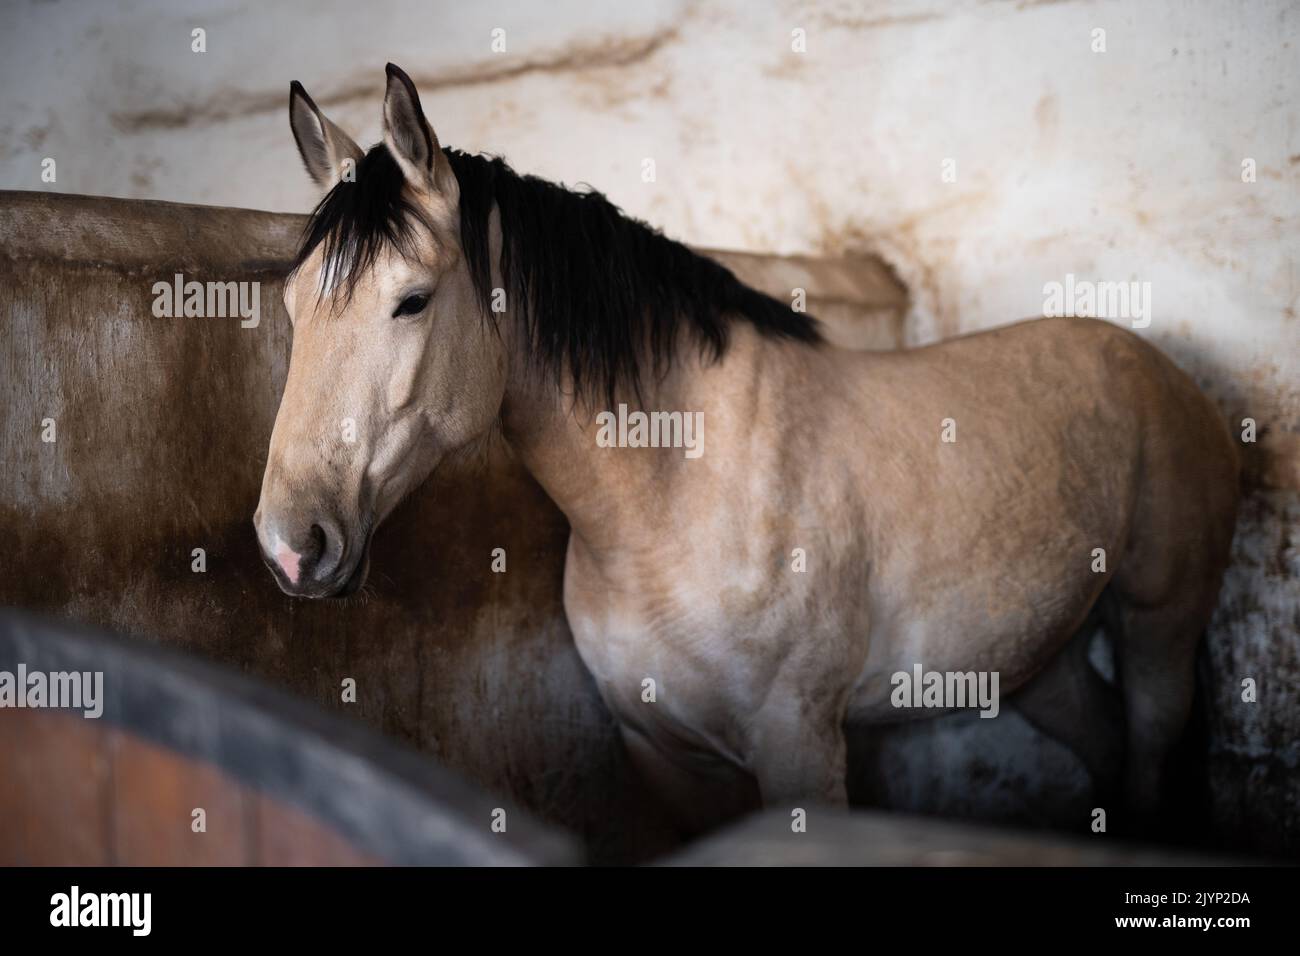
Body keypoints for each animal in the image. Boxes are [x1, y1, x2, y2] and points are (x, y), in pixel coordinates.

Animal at [254, 64, 1239, 832]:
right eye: (295, 304)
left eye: (411, 301)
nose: (292, 544)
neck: (673, 500)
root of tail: (1155, 363)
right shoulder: (662, 754)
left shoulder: (799, 745)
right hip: (1038, 654)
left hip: (1159, 627)